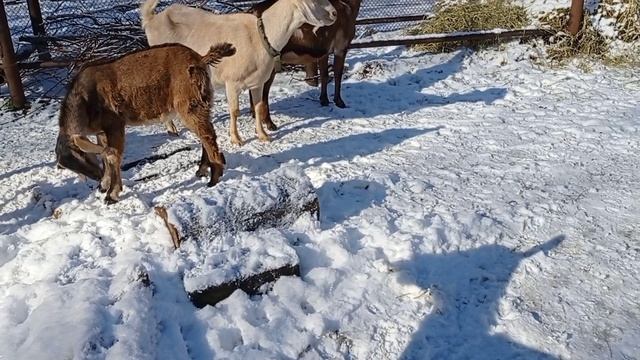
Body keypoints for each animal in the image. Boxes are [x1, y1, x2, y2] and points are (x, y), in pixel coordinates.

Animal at [56, 43, 236, 202]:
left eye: (82, 155)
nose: (96, 176)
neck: (85, 99)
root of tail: (201, 59)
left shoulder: (115, 124)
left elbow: (113, 156)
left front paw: (111, 194)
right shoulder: (101, 131)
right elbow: (105, 156)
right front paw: (105, 185)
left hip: (189, 104)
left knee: (207, 136)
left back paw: (214, 177)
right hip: (201, 102)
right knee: (205, 134)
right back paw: (202, 170)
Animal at [142, 0, 338, 145]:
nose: (335, 13)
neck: (261, 35)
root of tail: (152, 20)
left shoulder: (258, 82)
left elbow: (259, 107)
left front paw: (263, 135)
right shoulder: (232, 82)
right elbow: (235, 111)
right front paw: (236, 139)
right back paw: (172, 129)